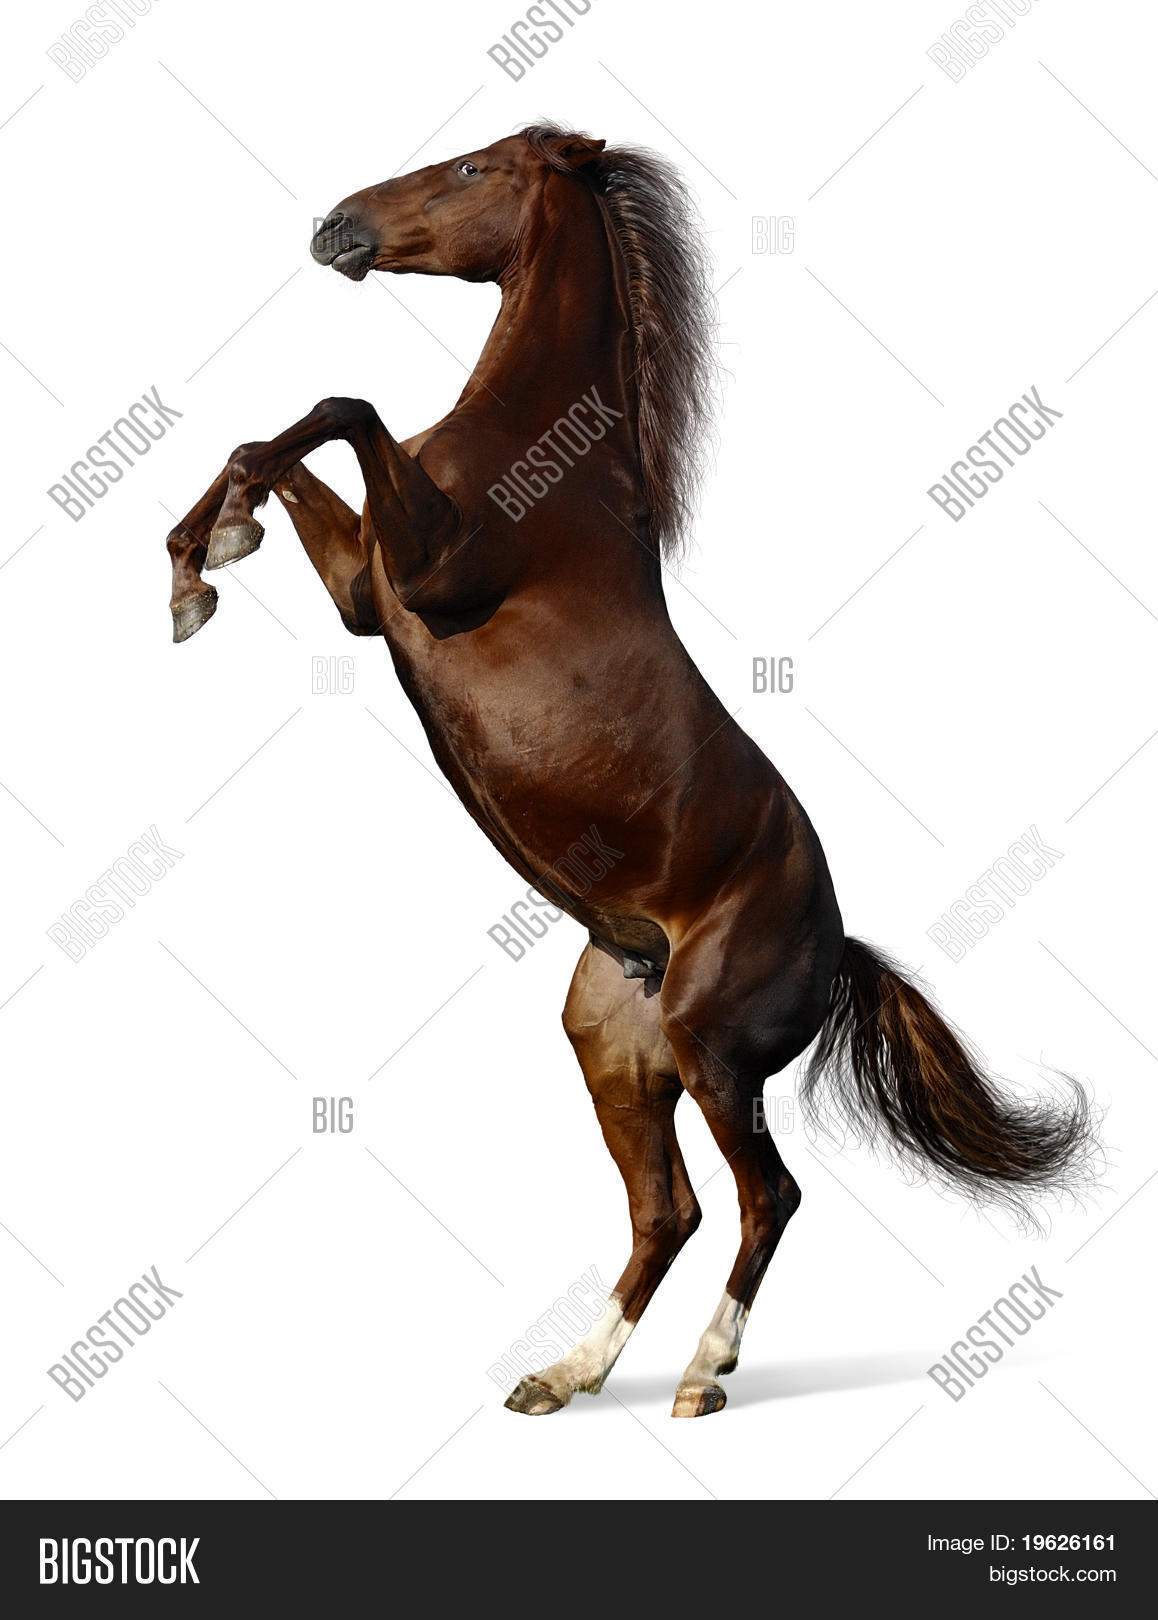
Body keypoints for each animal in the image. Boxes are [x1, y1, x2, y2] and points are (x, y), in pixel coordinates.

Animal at [165, 124, 1091, 1418]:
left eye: (473, 170)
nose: (336, 227)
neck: (543, 453)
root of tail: (835, 943)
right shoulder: (364, 592)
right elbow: (273, 440)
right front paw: (199, 559)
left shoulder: (429, 571)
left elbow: (345, 404)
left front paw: (202, 561)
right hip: (615, 1051)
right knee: (671, 1209)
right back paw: (565, 1375)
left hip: (715, 1053)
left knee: (766, 1197)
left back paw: (704, 1375)